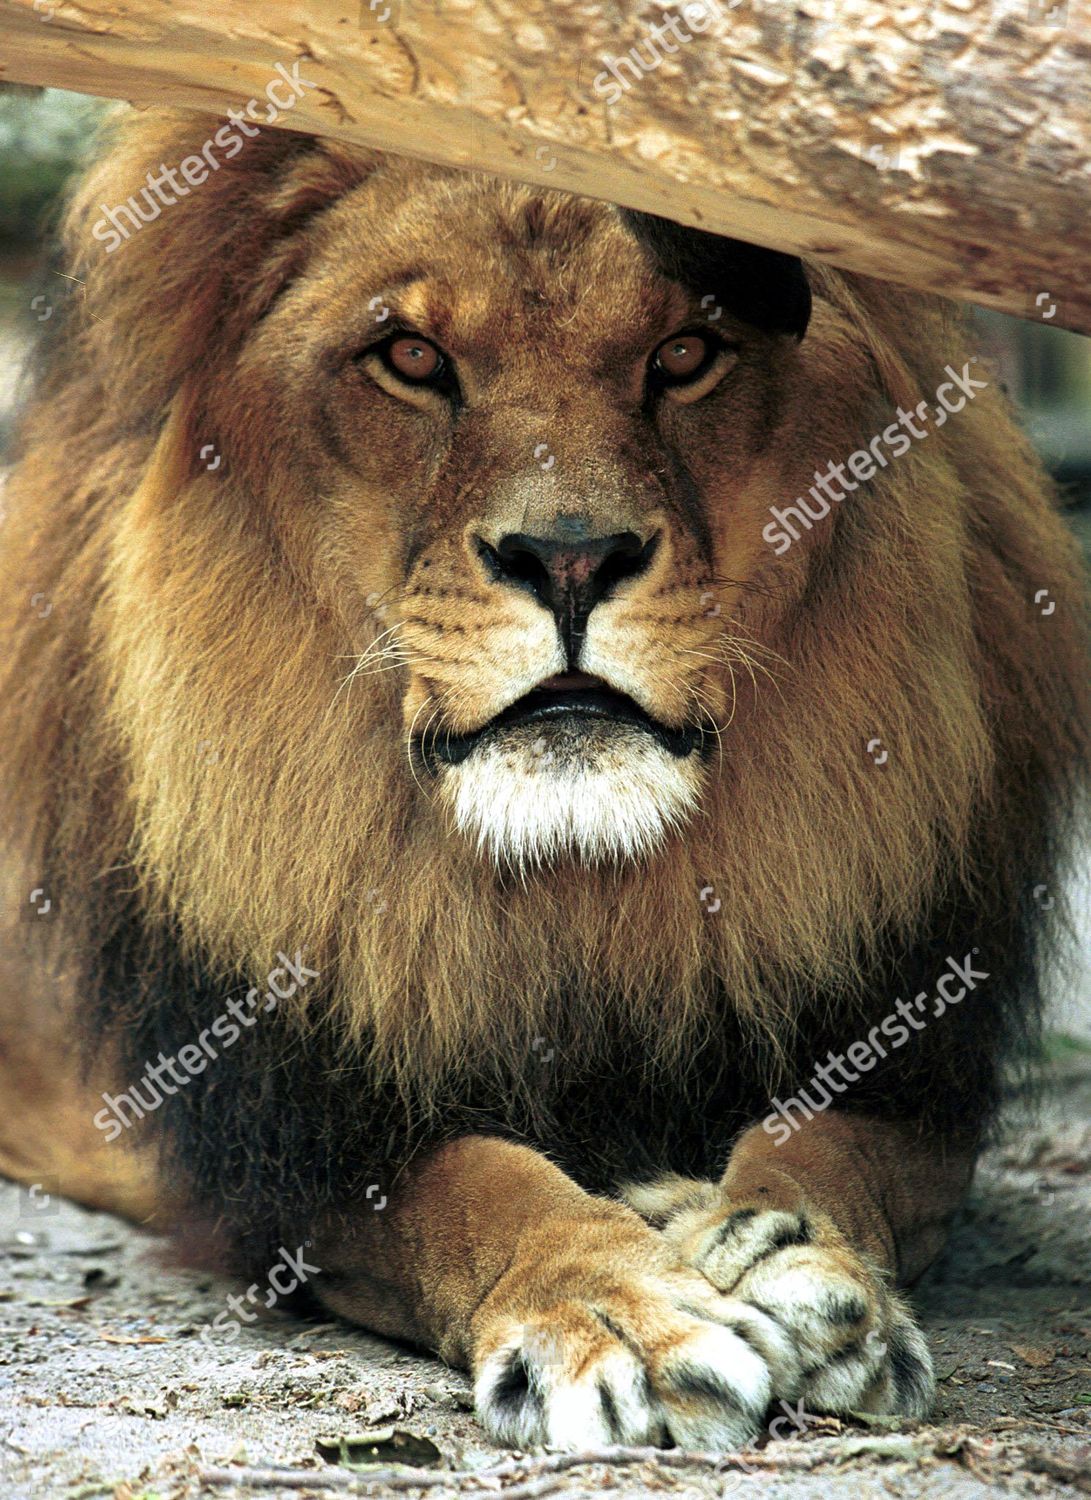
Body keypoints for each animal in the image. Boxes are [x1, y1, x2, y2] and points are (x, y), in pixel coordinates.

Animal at [0, 107, 1087, 1451]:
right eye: (412, 357)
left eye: (686, 353)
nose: (569, 559)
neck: (574, 876)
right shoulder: (287, 1141)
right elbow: (474, 1187)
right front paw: (615, 1306)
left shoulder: (907, 1061)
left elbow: (839, 1147)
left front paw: (786, 1251)